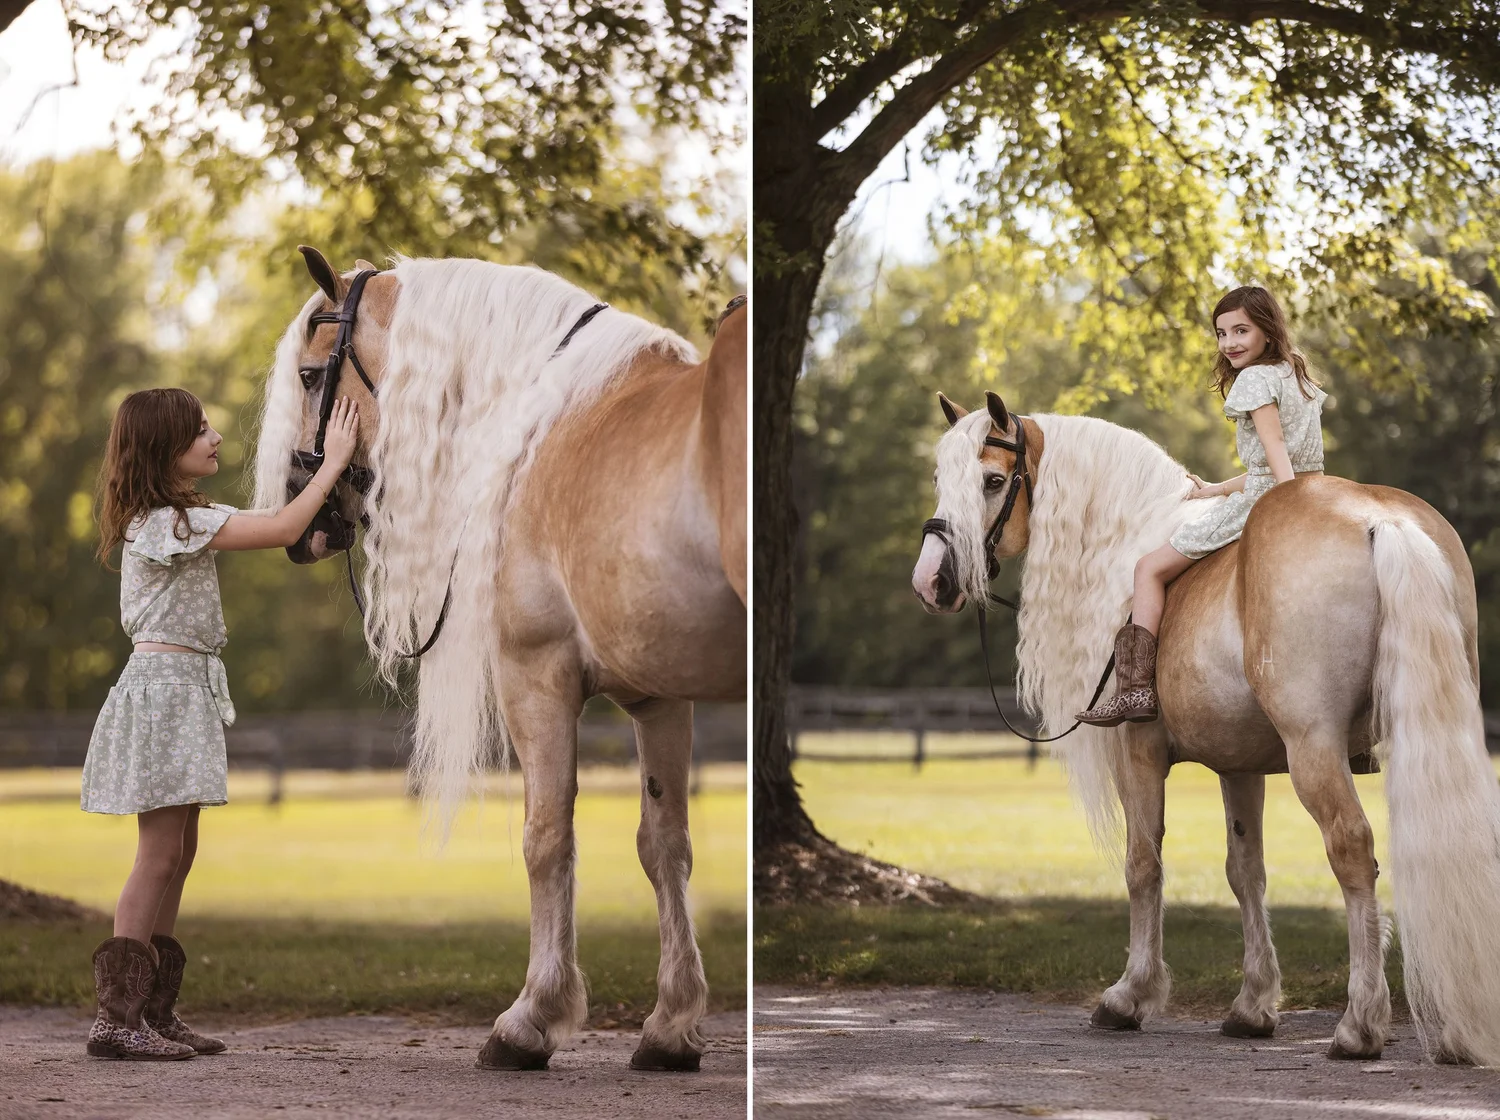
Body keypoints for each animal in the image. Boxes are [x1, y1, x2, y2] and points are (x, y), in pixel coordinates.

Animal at [250, 247, 746, 1072]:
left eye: (312, 375)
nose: (301, 518)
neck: (543, 425)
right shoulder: (658, 697)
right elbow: (664, 845)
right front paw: (672, 1024)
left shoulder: (534, 675)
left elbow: (546, 841)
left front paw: (530, 1019)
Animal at [911, 390, 1500, 1067]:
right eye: (940, 478)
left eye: (992, 480)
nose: (932, 581)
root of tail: (1381, 520)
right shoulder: (1240, 766)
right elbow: (1246, 872)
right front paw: (1253, 1006)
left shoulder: (1138, 755)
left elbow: (1143, 866)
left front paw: (1129, 996)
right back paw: (1454, 1028)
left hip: (1315, 751)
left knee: (1352, 849)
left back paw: (1360, 1025)